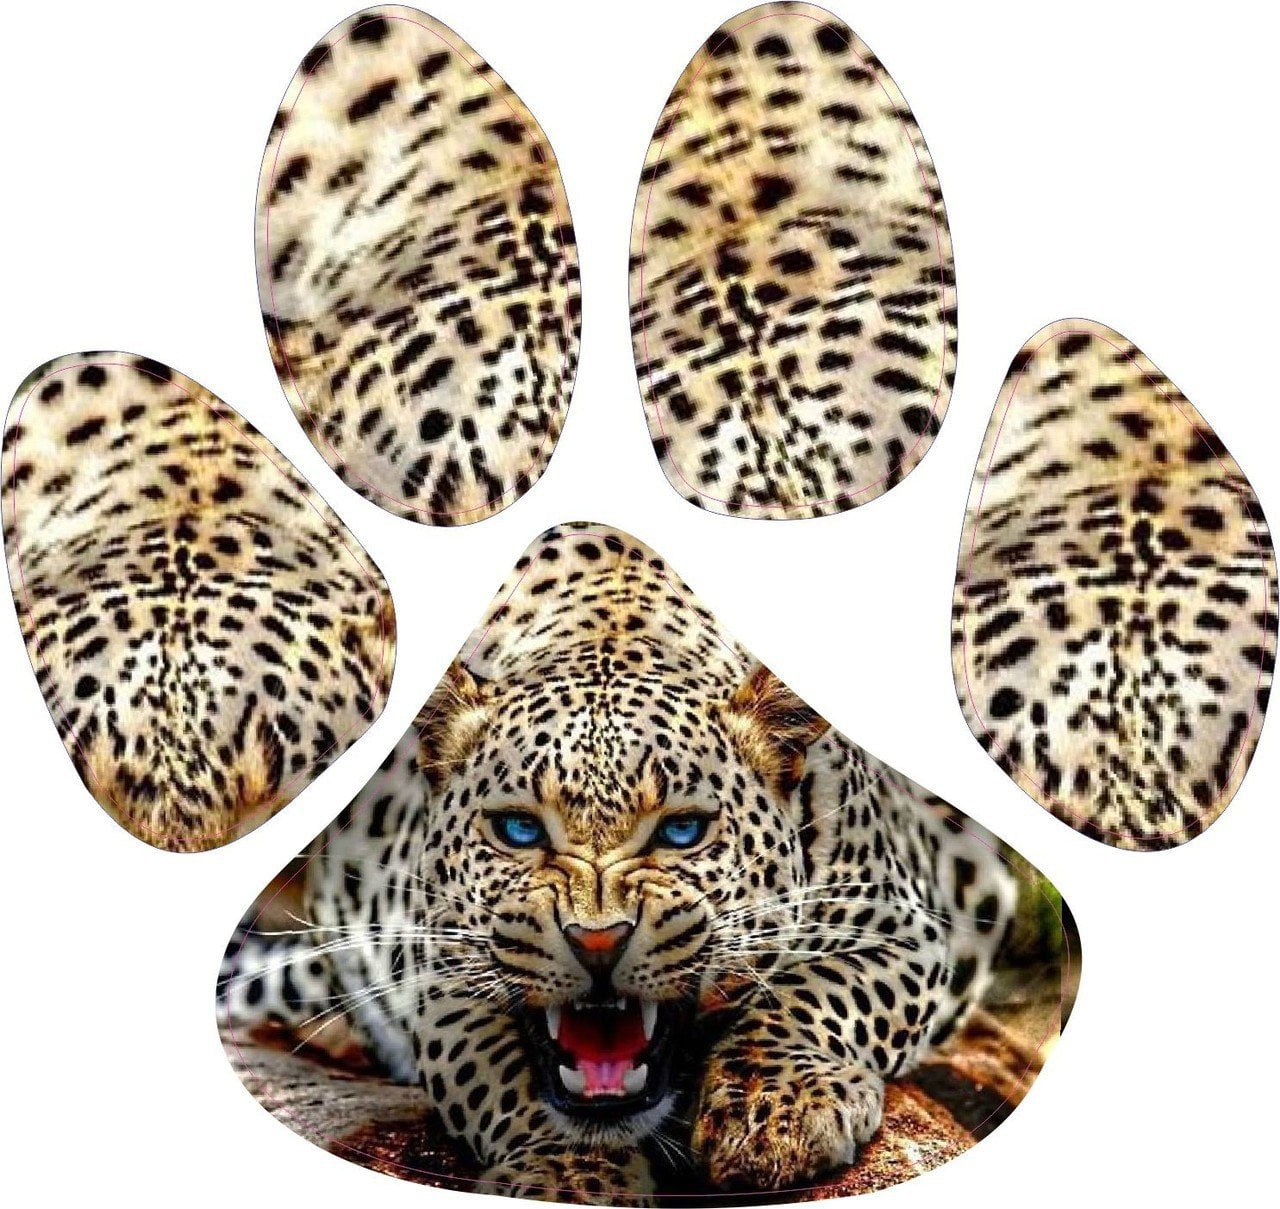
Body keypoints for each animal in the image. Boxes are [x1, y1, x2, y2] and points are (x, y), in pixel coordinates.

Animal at [221, 523, 1017, 1202]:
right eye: (518, 828)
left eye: (682, 831)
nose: (597, 941)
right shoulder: (438, 968)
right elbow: (502, 1074)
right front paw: (569, 1176)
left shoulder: (902, 924)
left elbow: (816, 993)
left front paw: (777, 1111)